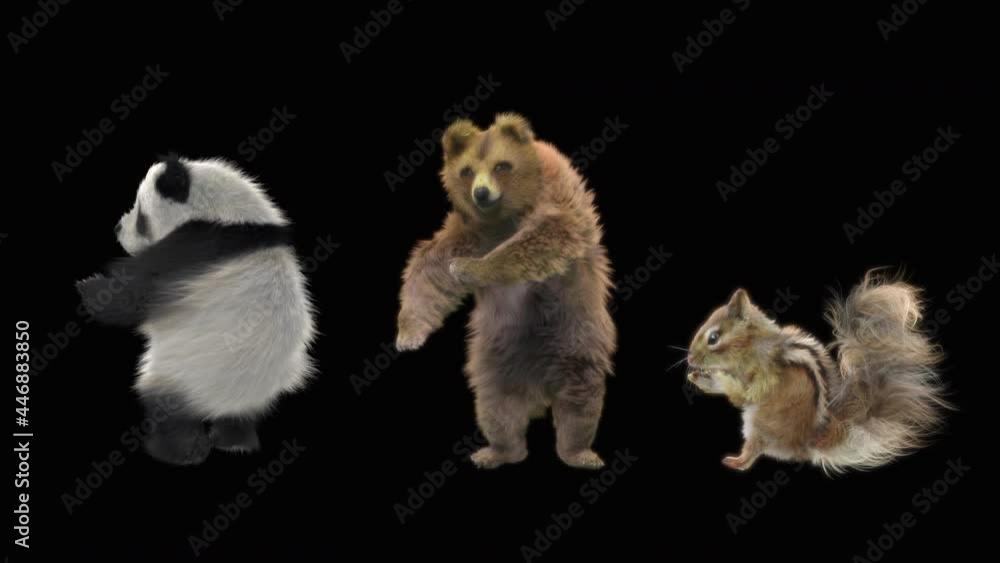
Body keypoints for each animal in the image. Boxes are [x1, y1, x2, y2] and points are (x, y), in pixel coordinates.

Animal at [76, 155, 316, 466]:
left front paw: (91, 289)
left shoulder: (191, 248)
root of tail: (220, 399)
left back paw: (179, 451)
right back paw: (234, 442)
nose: (117, 228)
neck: (228, 219)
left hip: (181, 370)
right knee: (240, 416)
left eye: (141, 217)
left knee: (168, 412)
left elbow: (138, 296)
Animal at [396, 112, 617, 469]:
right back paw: (496, 451)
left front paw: (469, 267)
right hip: (495, 359)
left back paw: (579, 453)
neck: (508, 213)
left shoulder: (556, 189)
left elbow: (549, 232)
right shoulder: (471, 228)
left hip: (576, 335)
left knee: (579, 395)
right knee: (496, 406)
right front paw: (408, 334)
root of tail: (540, 389)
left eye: (502, 165)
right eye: (467, 171)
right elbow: (430, 264)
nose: (481, 193)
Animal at [685, 271, 950, 474]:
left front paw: (711, 376)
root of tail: (805, 445)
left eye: (713, 338)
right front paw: (698, 377)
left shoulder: (764, 374)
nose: (689, 358)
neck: (752, 345)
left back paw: (736, 461)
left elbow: (743, 395)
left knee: (753, 450)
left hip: (758, 425)